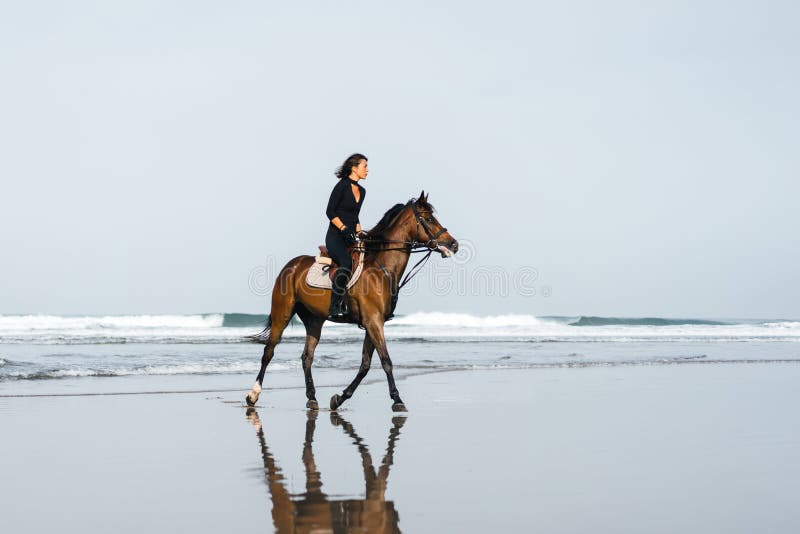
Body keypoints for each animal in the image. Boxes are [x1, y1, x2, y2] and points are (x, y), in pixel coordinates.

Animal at [245, 190, 458, 412]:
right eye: (429, 219)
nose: (454, 244)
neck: (381, 269)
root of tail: (291, 265)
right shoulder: (373, 322)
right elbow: (386, 361)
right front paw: (397, 400)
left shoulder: (374, 323)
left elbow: (365, 364)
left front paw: (340, 398)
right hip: (283, 313)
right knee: (268, 352)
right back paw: (253, 394)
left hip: (315, 320)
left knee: (307, 357)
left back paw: (312, 398)